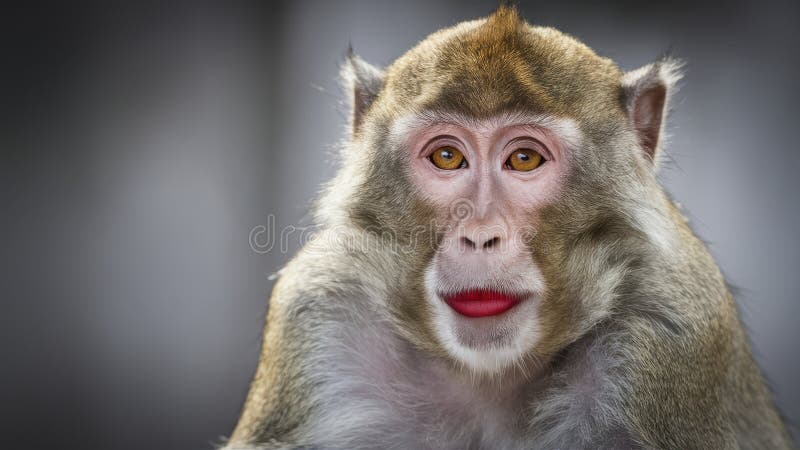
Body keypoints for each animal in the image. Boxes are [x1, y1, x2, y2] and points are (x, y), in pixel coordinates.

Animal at [223, 7, 793, 450]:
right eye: (447, 157)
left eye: (523, 159)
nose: (480, 236)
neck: (488, 378)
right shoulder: (317, 312)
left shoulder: (674, 331)